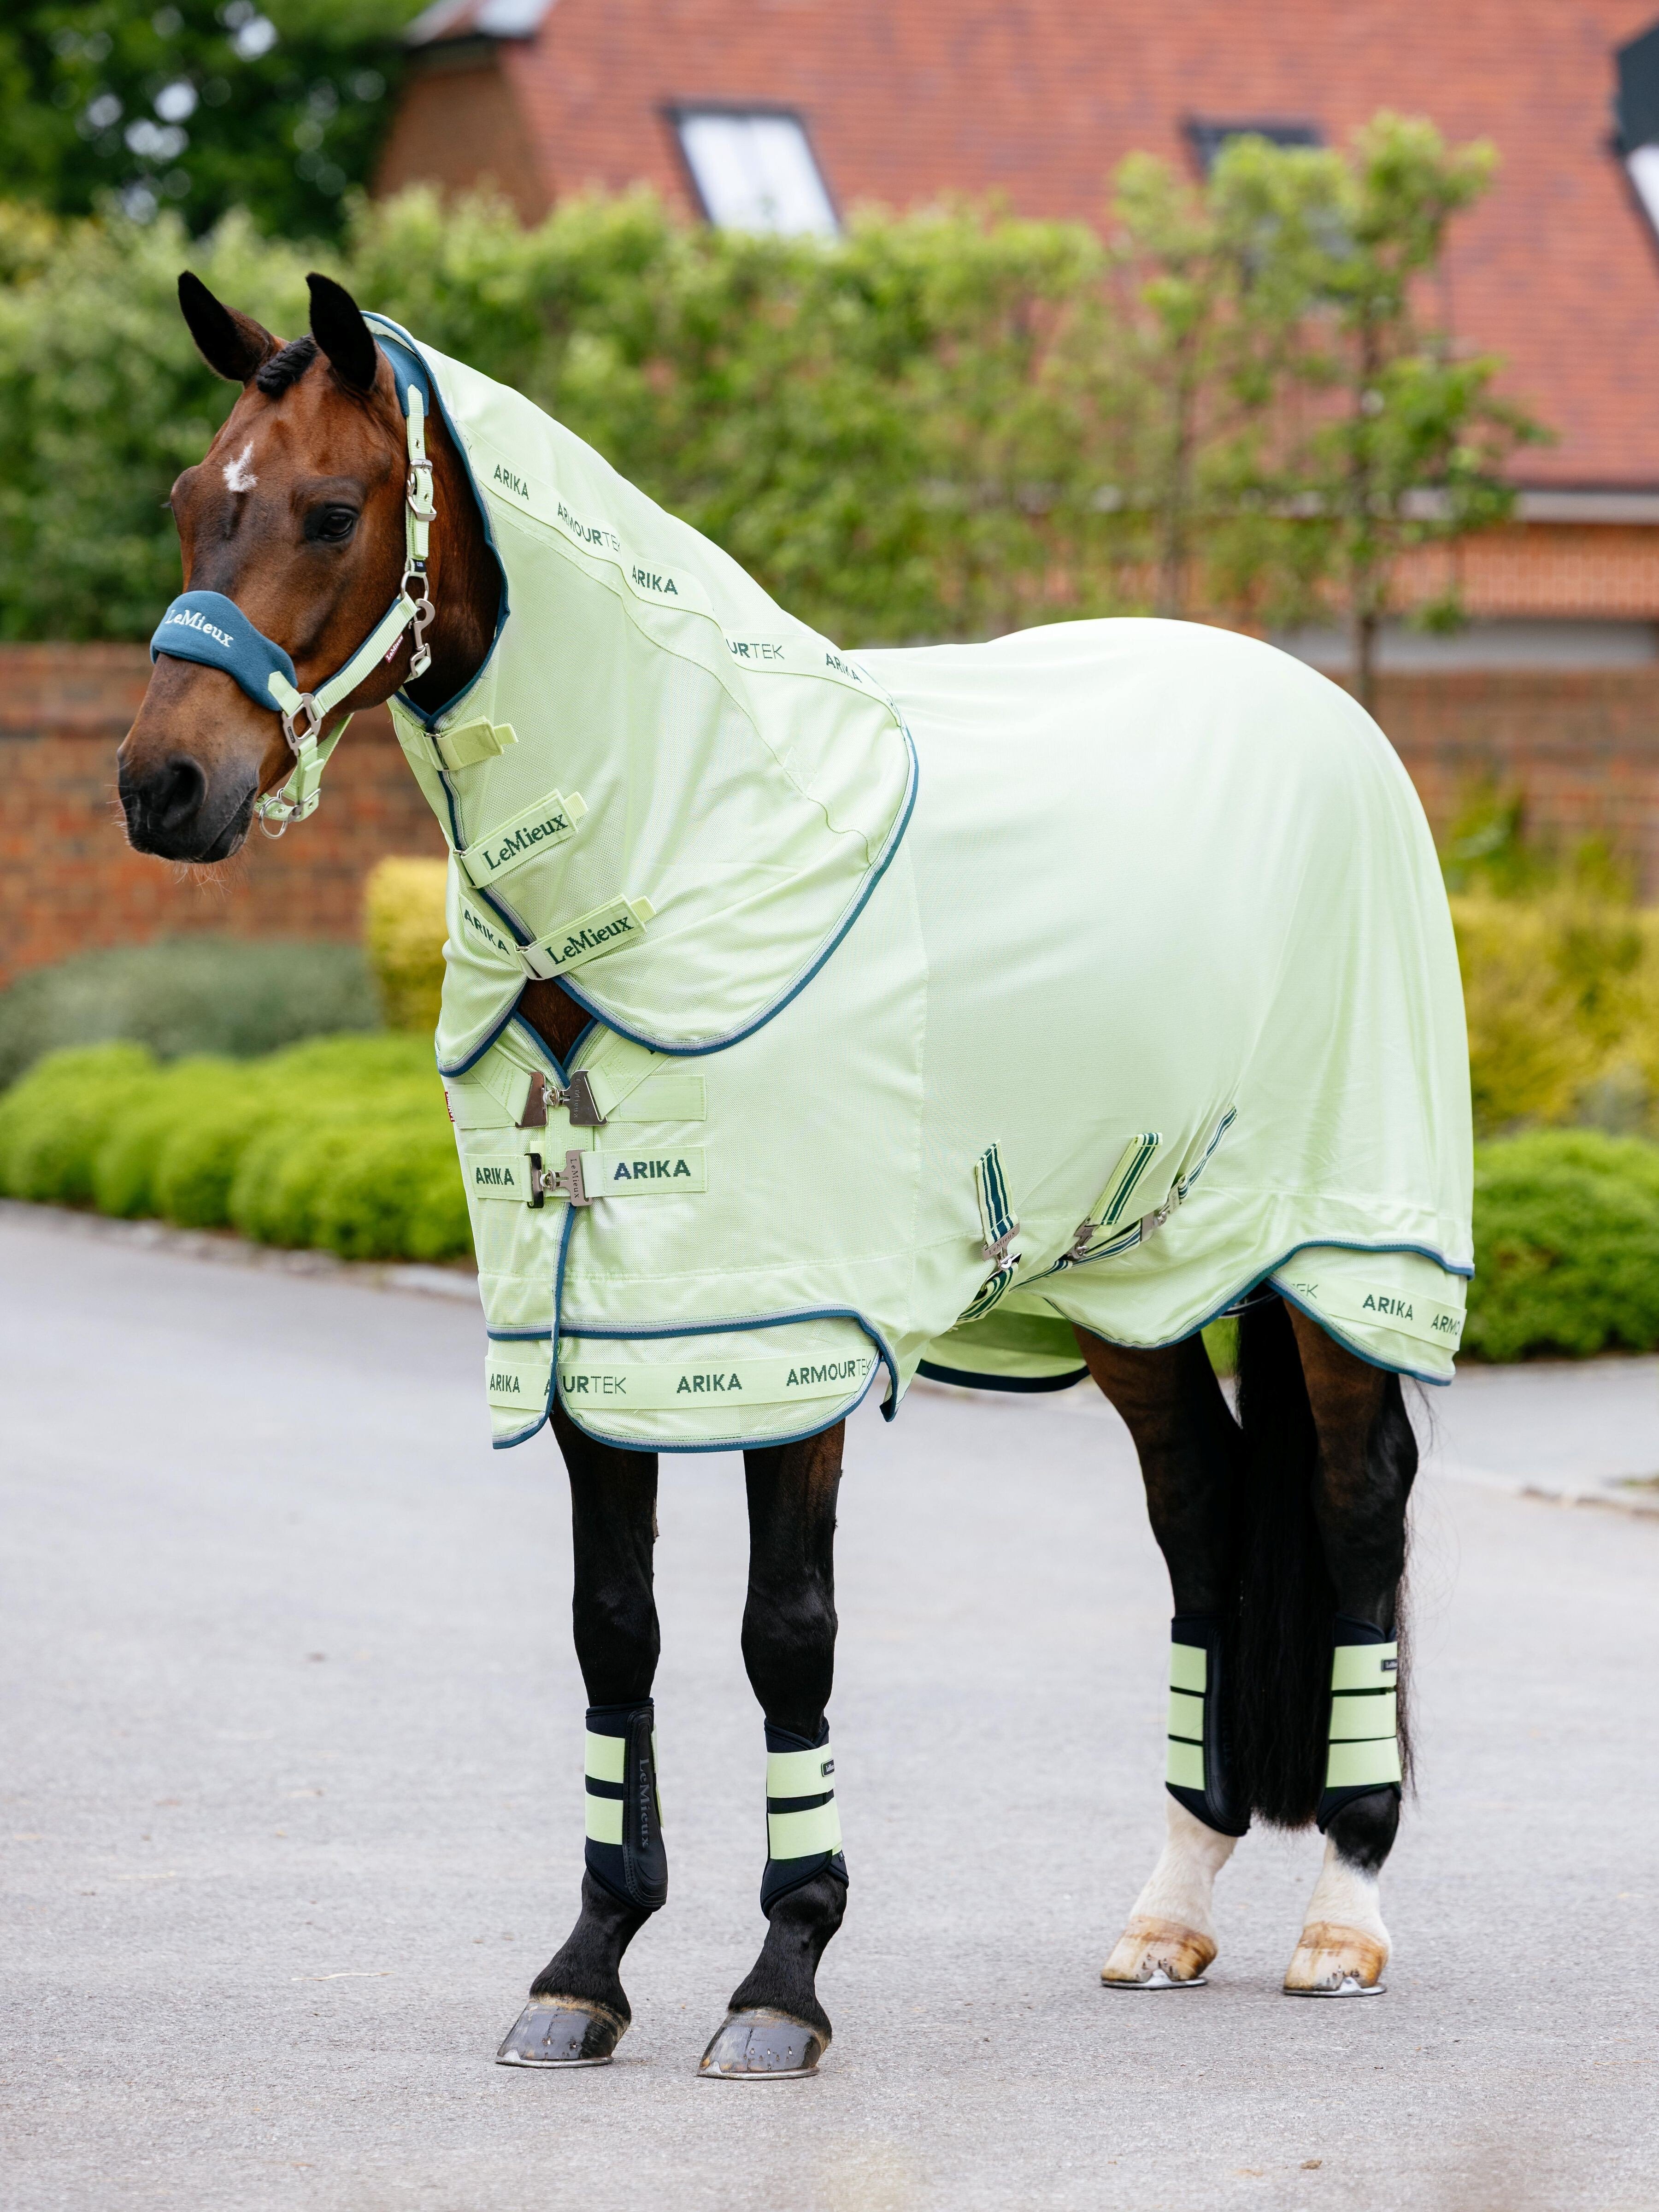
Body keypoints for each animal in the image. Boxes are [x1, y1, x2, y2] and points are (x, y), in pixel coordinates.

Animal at [116, 270, 1470, 2078]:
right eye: (196, 500)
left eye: (333, 512)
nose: (162, 785)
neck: (685, 843)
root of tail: (1332, 716)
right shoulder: (597, 1331)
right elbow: (615, 1626)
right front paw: (587, 1965)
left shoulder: (792, 1335)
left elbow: (786, 1635)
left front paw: (783, 1975)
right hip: (1133, 1271)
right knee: (1200, 1517)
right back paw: (1170, 1911)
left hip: (1340, 1258)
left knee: (1356, 1509)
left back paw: (1344, 1915)